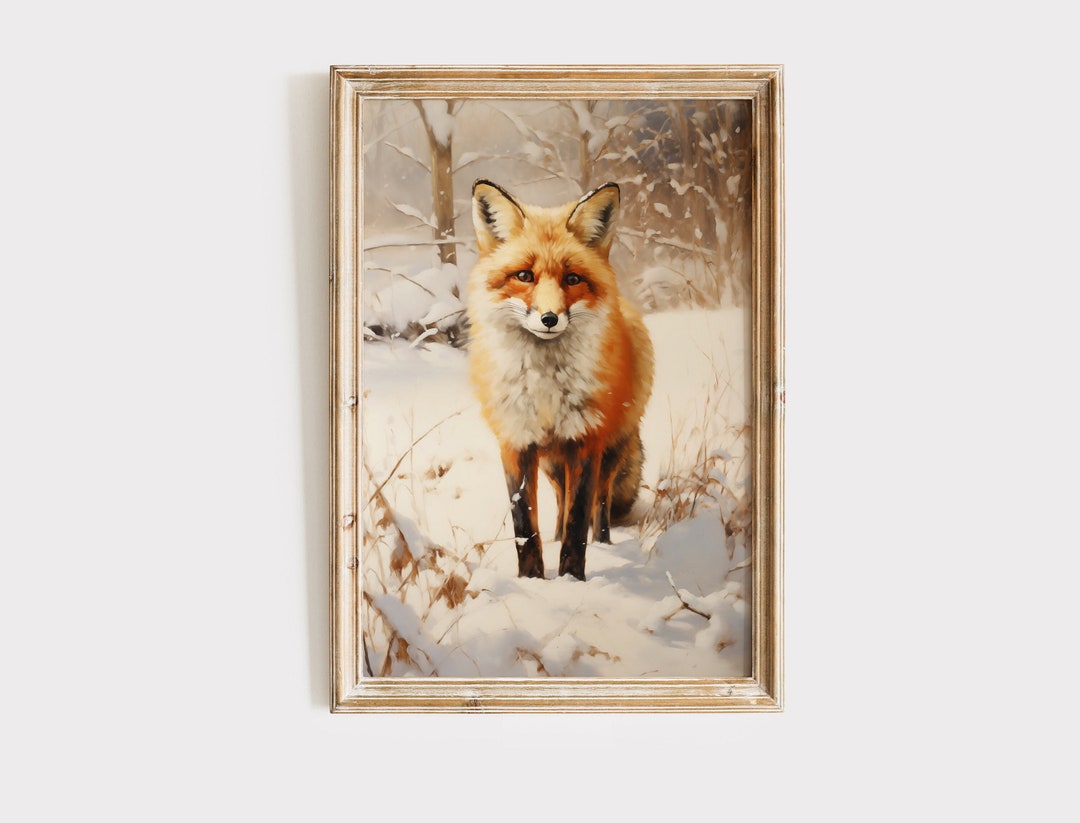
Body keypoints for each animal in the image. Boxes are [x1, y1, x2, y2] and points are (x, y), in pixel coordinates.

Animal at [466, 179, 654, 581]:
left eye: (572, 279)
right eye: (525, 275)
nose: (550, 319)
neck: (545, 388)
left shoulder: (586, 439)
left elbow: (578, 519)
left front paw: (572, 578)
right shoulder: (515, 441)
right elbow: (525, 525)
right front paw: (532, 578)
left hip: (610, 450)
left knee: (599, 502)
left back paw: (603, 544)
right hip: (552, 462)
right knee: (558, 497)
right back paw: (553, 539)